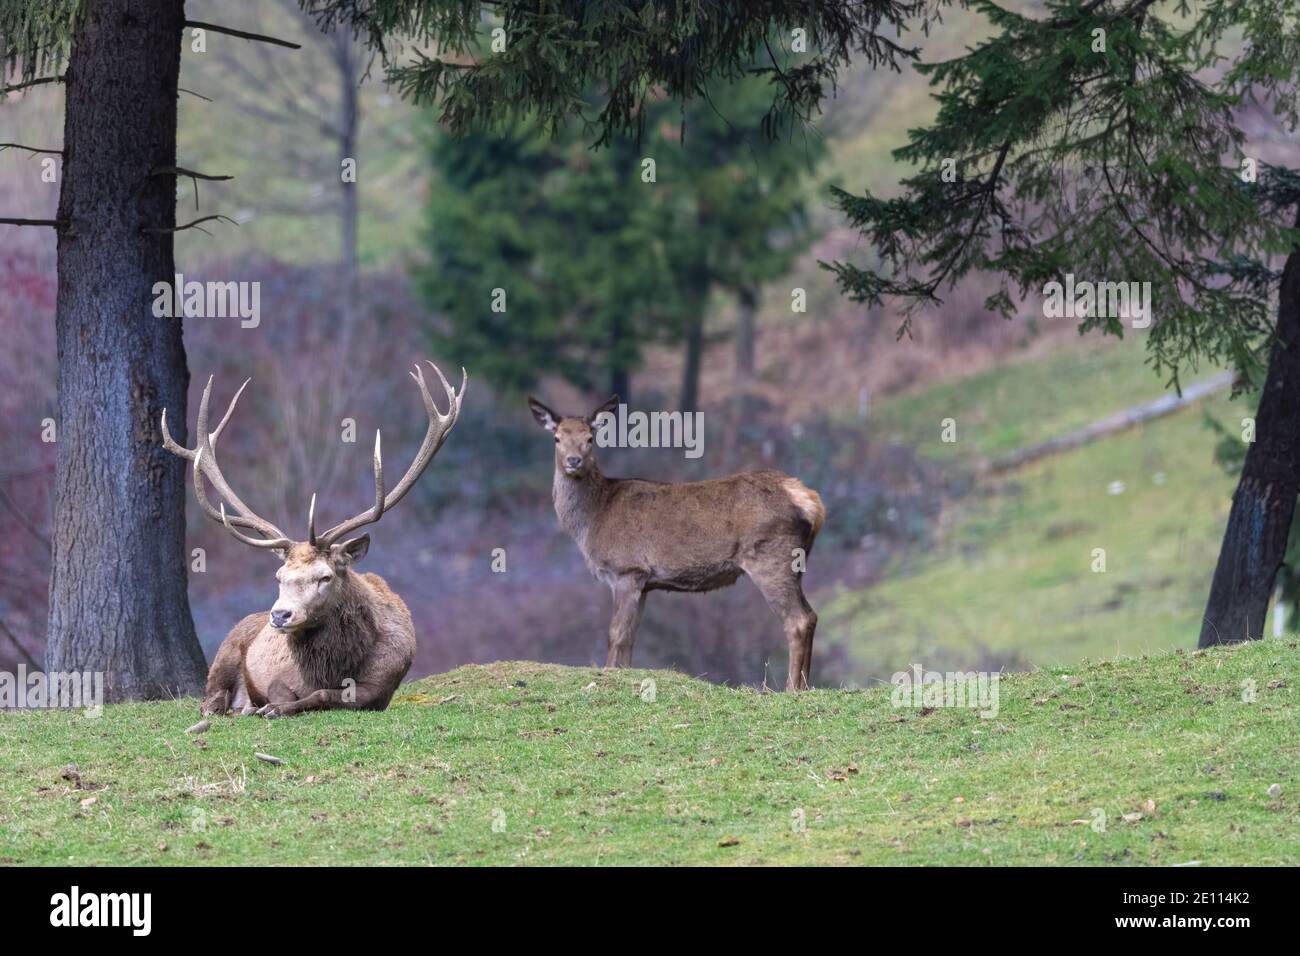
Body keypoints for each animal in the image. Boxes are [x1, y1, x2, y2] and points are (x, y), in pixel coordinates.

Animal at [161, 361, 466, 718]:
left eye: (325, 576)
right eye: (279, 576)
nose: (280, 615)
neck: (337, 667)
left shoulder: (381, 687)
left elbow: (324, 695)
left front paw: (274, 709)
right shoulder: (278, 676)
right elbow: (284, 694)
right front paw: (269, 706)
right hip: (225, 653)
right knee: (209, 699)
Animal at [527, 395, 825, 690]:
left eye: (590, 438)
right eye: (557, 438)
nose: (573, 461)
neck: (592, 518)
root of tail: (810, 500)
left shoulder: (626, 569)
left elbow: (616, 633)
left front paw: (609, 673)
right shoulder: (645, 582)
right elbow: (631, 636)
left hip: (770, 558)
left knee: (798, 619)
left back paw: (791, 689)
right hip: (796, 563)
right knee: (811, 615)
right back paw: (804, 686)